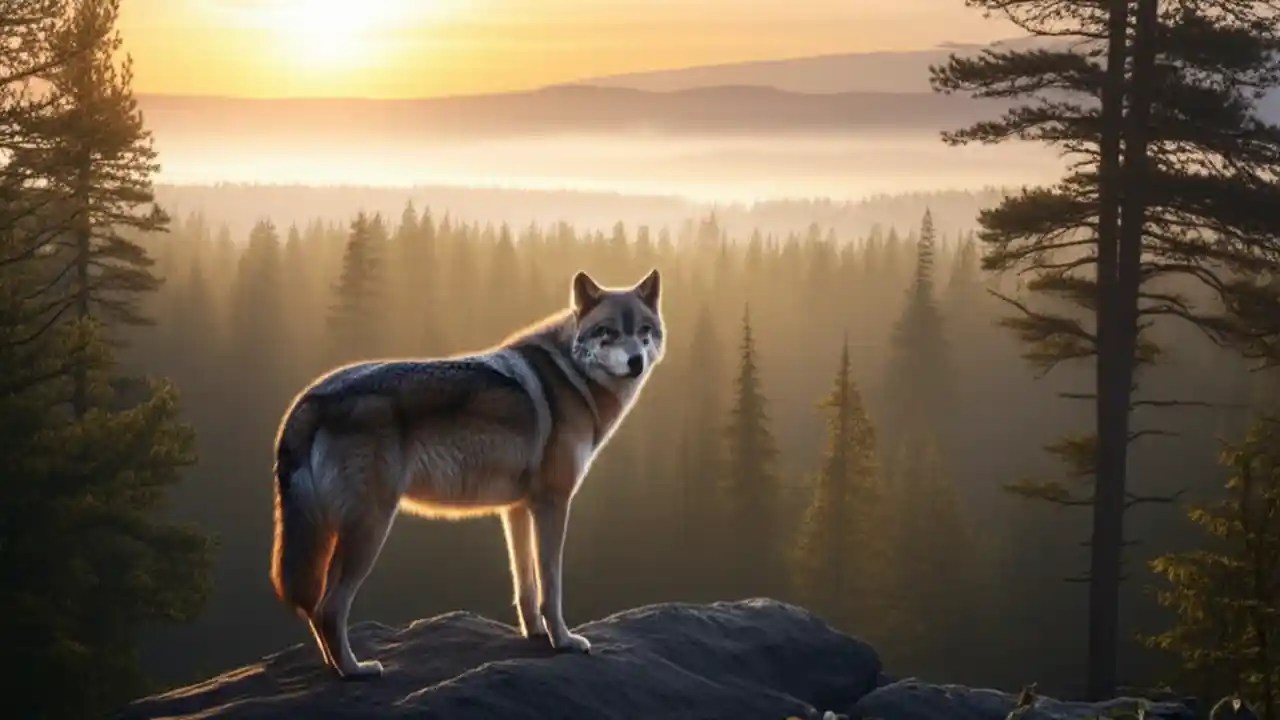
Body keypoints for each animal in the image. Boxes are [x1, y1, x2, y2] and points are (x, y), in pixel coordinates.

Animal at [269, 270, 665, 679]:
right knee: (328, 608)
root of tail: (310, 398)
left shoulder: (516, 510)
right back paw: (355, 670)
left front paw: (536, 634)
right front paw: (564, 641)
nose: (636, 361)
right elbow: (551, 586)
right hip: (369, 529)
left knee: (317, 609)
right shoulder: (553, 504)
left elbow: (526, 586)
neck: (573, 378)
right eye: (608, 332)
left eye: (644, 330)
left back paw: (335, 668)